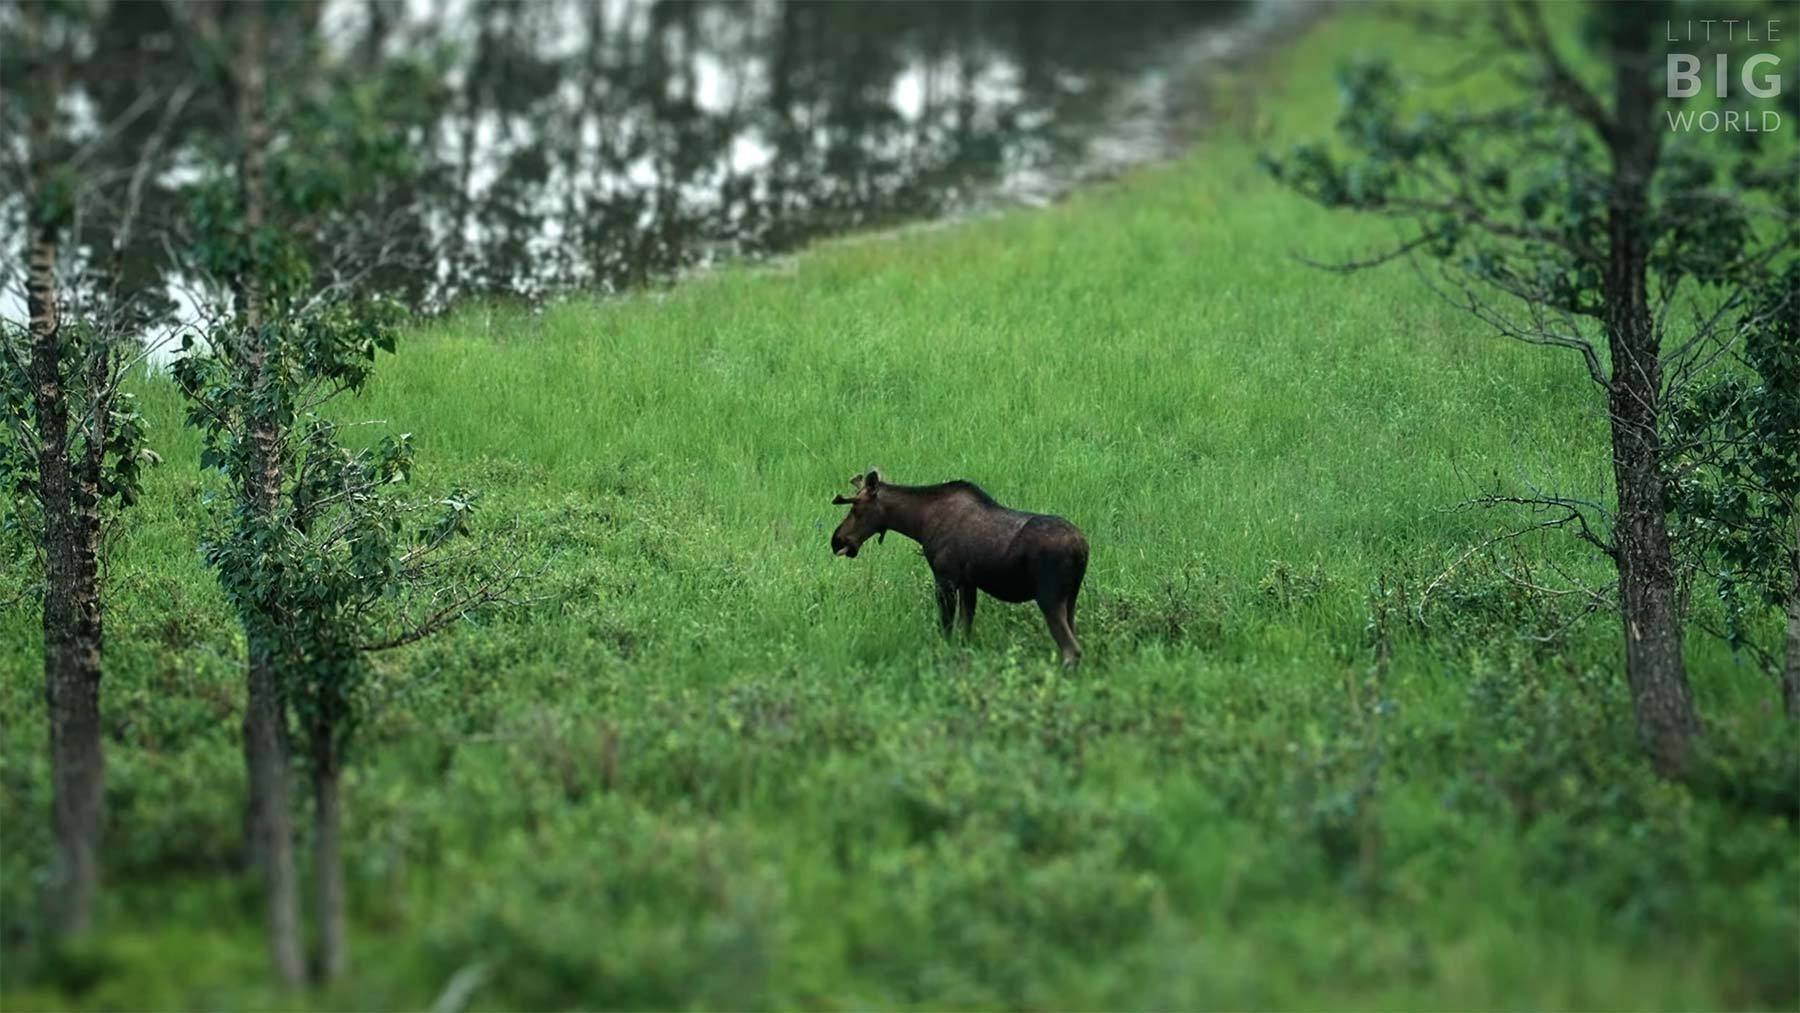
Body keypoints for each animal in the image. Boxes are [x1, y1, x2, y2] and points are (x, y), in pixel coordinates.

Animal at [824, 475, 1087, 669]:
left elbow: (946, 627)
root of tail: (1082, 548)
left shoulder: (946, 579)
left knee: (1072, 649)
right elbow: (964, 630)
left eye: (856, 508)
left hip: (1049, 597)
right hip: (1070, 598)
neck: (918, 524)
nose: (836, 540)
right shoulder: (969, 583)